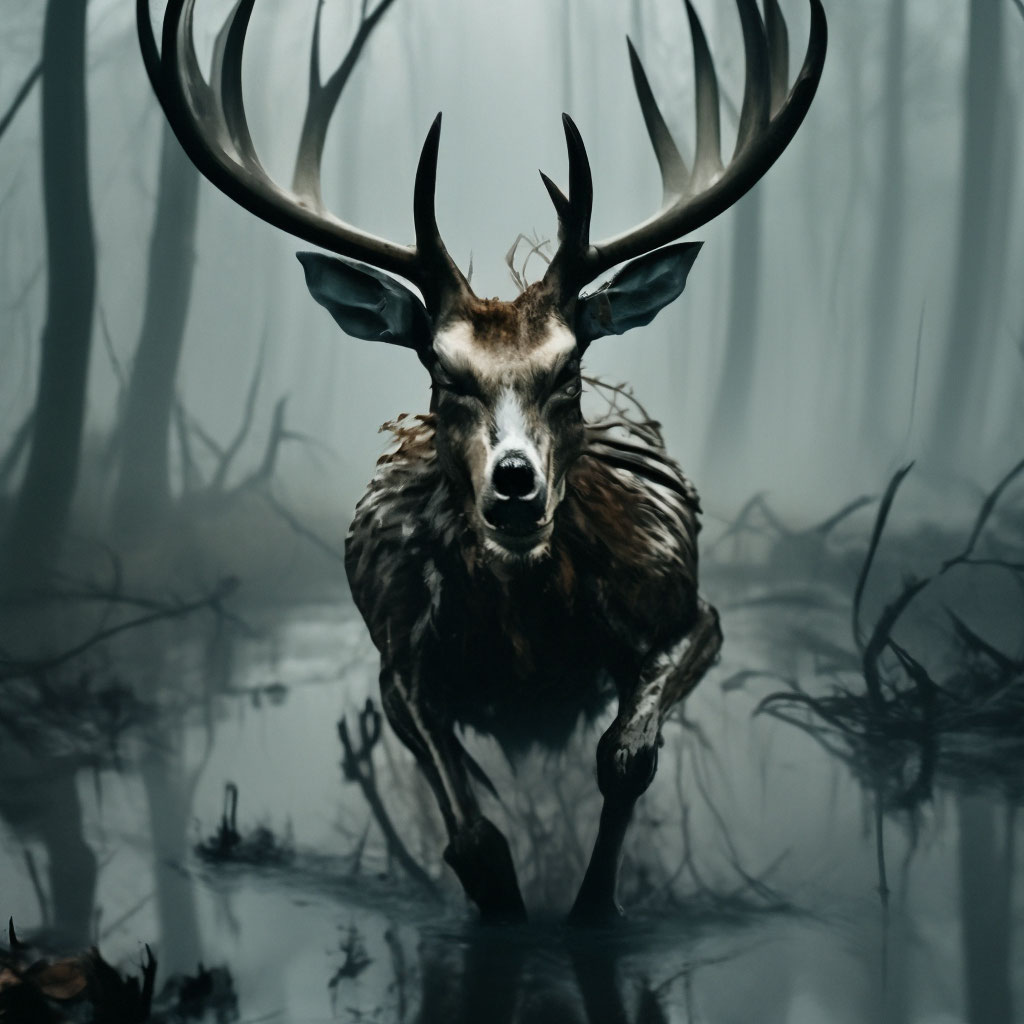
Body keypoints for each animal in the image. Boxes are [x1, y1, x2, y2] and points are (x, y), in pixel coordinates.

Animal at [138, 0, 826, 923]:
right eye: (442, 374)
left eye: (568, 370)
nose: (514, 488)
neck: (529, 644)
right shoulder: (400, 664)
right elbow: (472, 840)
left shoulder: (693, 614)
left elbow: (626, 757)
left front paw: (592, 912)